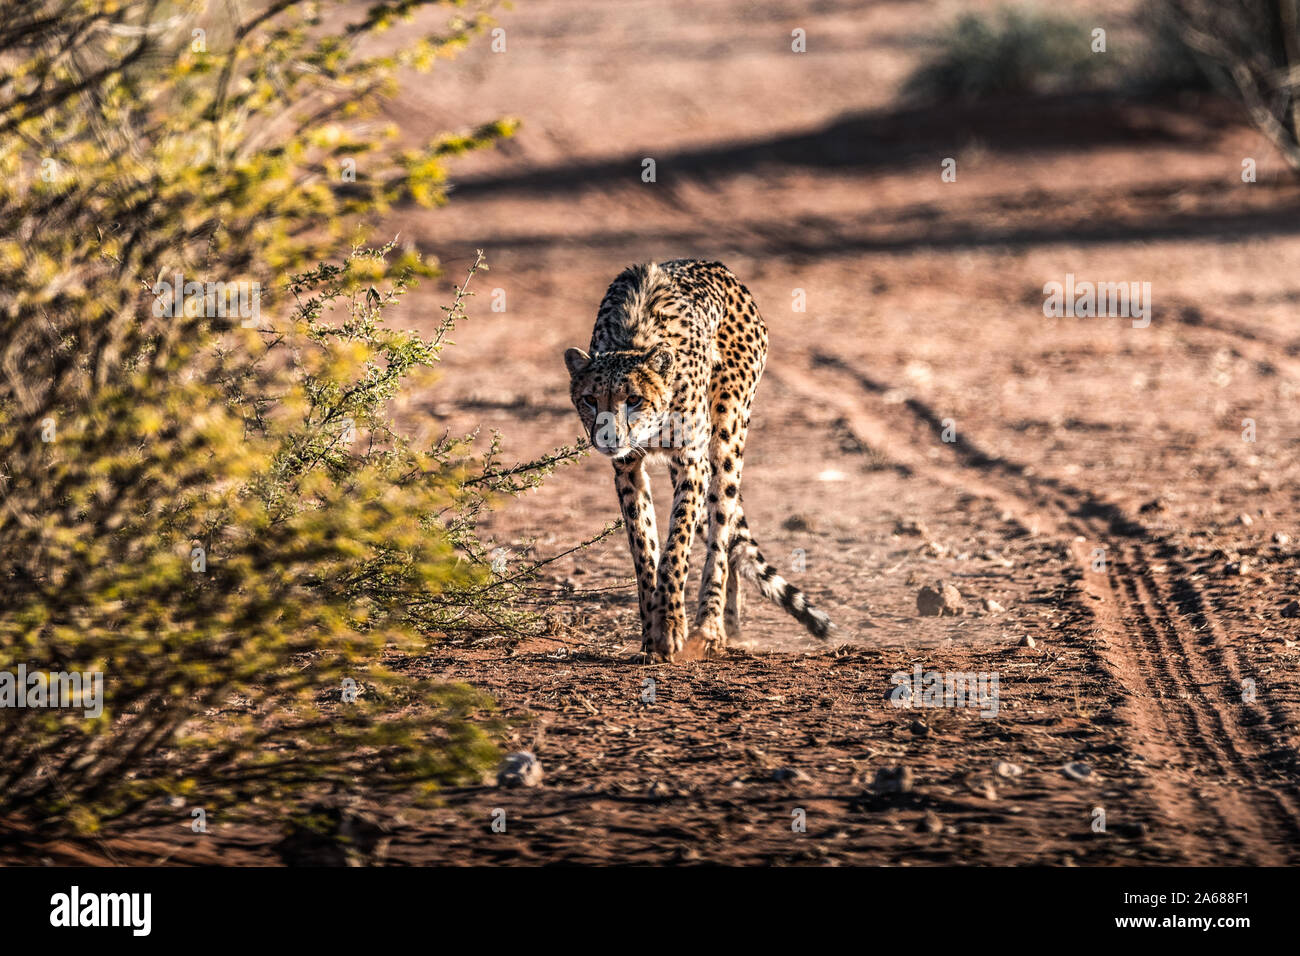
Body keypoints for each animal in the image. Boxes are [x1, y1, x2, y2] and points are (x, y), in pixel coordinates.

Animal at [564, 258, 834, 661]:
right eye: (590, 400)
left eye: (634, 399)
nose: (609, 438)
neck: (634, 340)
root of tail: (720, 267)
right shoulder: (627, 469)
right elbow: (645, 548)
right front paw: (651, 634)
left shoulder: (691, 462)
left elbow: (676, 548)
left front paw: (669, 625)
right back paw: (729, 625)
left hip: (727, 438)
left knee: (720, 535)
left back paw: (711, 626)